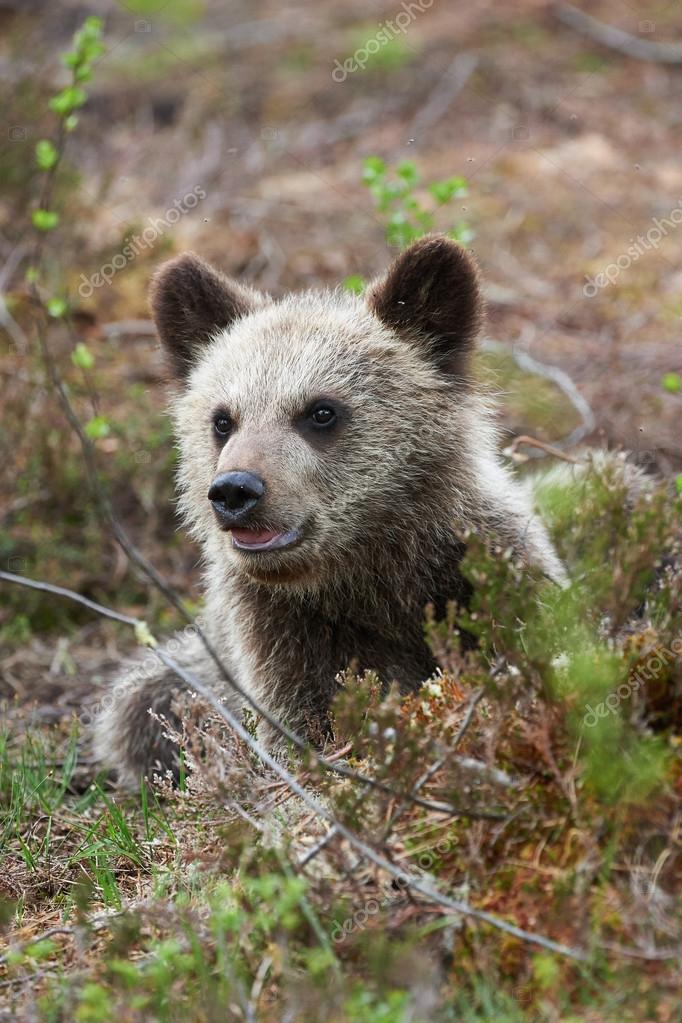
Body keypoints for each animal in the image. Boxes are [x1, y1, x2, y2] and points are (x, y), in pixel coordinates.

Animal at [94, 236, 567, 787]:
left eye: (321, 411)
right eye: (222, 419)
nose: (235, 490)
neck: (371, 574)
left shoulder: (486, 574)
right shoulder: (280, 629)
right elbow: (300, 720)